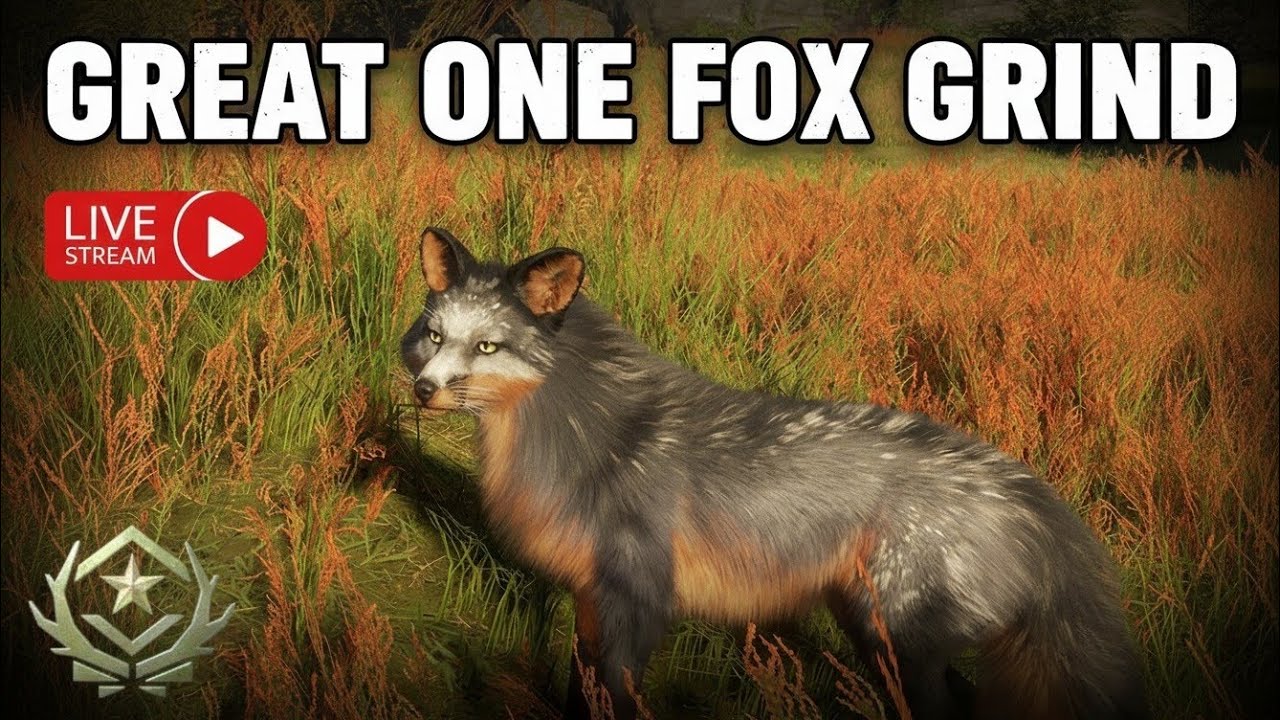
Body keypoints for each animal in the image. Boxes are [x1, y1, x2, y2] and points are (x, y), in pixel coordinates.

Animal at [400, 227, 1149, 720]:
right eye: (435, 337)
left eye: (487, 347)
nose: (424, 390)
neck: (584, 436)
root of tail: (1034, 496)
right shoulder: (588, 598)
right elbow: (576, 693)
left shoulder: (639, 599)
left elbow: (614, 698)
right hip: (871, 632)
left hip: (902, 639)